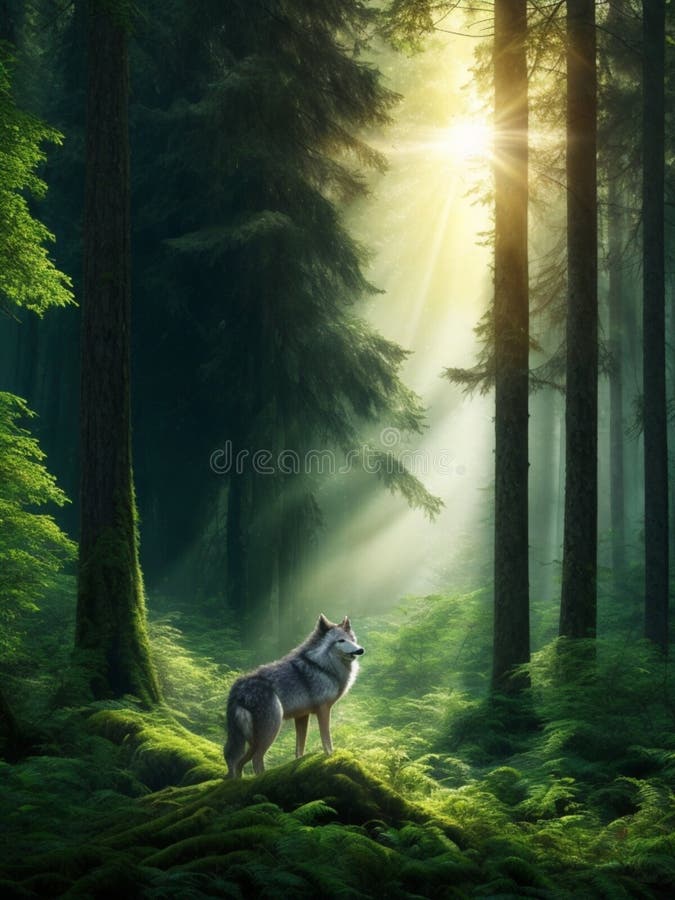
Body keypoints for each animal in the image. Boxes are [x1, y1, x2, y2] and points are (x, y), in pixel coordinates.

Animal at [224, 614, 364, 778]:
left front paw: (297, 765)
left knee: (238, 762)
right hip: (271, 730)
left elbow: (299, 749)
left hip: (253, 739)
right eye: (341, 640)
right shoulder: (323, 710)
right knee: (256, 759)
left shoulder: (302, 716)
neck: (322, 666)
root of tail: (237, 690)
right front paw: (330, 756)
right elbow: (327, 740)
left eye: (352, 640)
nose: (360, 650)